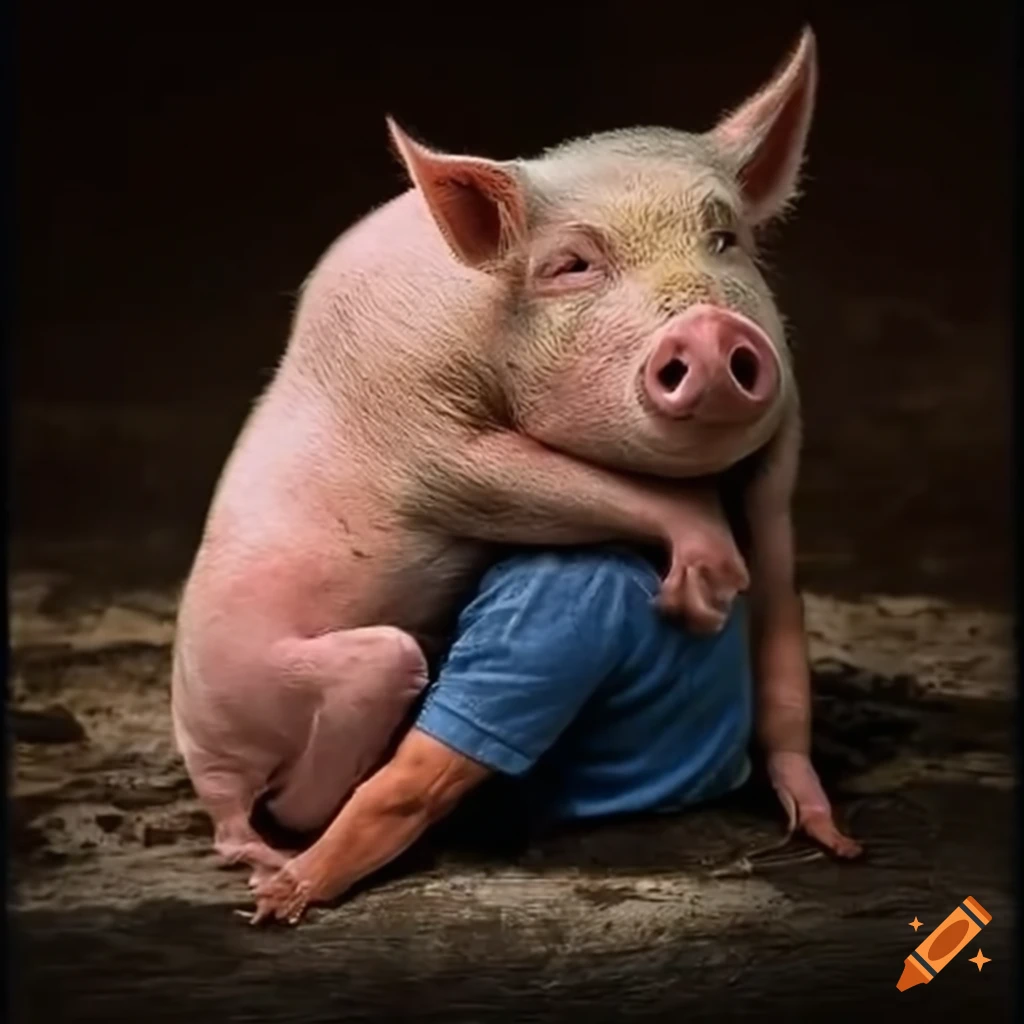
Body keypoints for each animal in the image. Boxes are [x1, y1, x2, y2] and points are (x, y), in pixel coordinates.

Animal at [171, 25, 861, 909]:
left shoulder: (784, 446)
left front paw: (831, 835)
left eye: (725, 238)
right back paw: (268, 861)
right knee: (264, 801)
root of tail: (197, 739)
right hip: (286, 685)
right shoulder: (423, 441)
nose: (709, 329)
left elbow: (774, 587)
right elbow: (512, 476)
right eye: (571, 266)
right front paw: (701, 585)